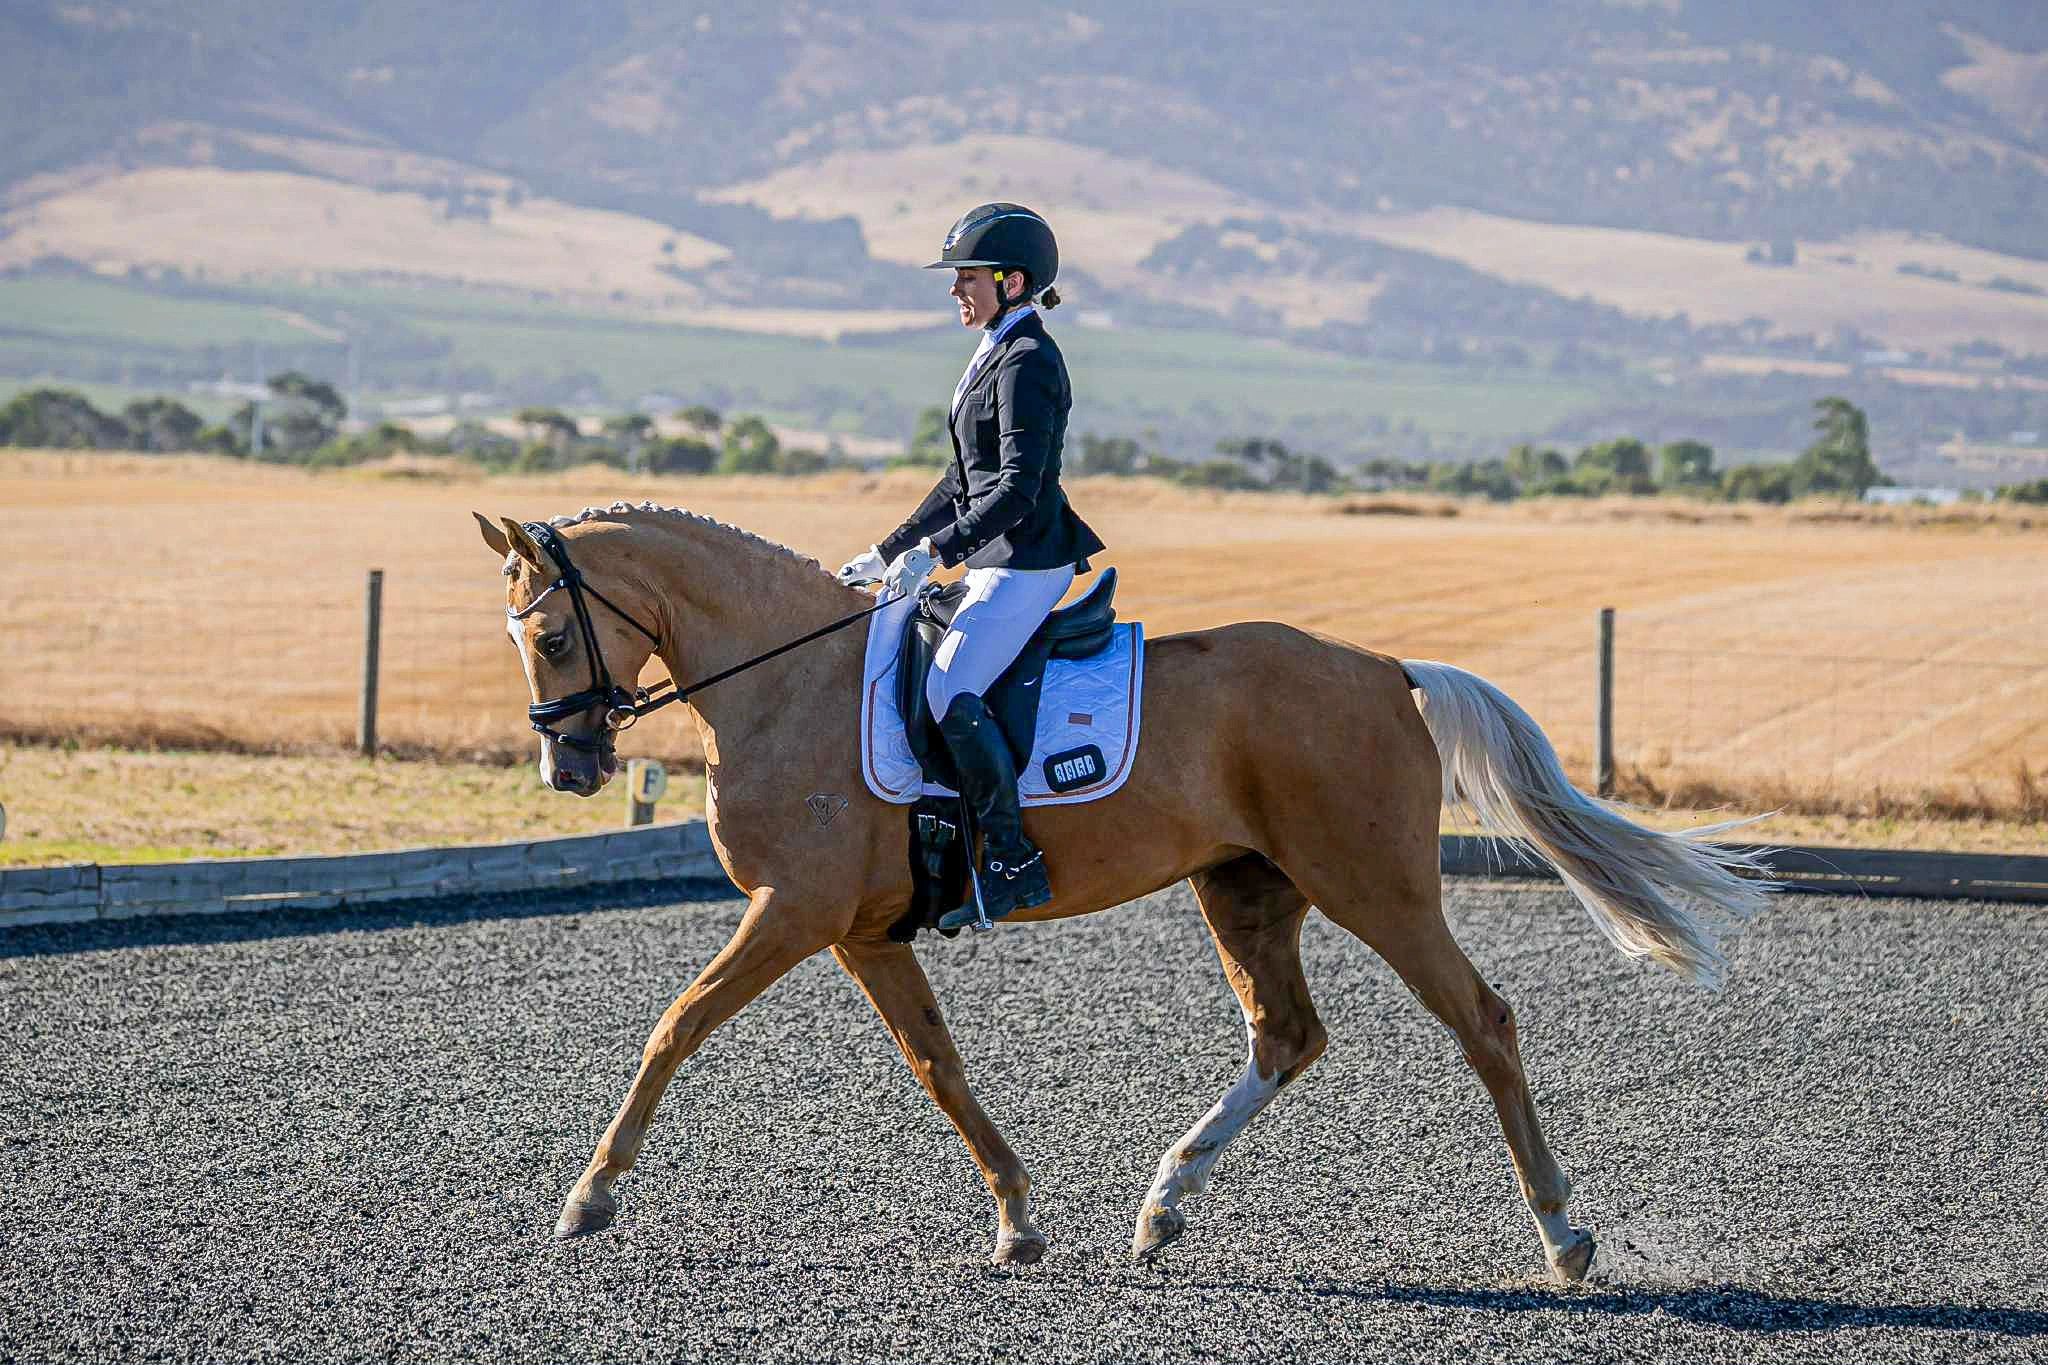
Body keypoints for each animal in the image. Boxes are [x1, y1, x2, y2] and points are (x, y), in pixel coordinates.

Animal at [475, 501, 1770, 1282]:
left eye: (550, 635)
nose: (569, 768)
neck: (785, 683)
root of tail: (1385, 670)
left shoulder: (790, 914)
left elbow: (673, 1026)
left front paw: (588, 1199)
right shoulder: (860, 932)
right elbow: (938, 1066)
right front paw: (1016, 1219)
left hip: (1375, 888)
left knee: (1482, 1024)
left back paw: (1562, 1236)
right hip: (1246, 890)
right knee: (1285, 1034)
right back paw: (1162, 1207)